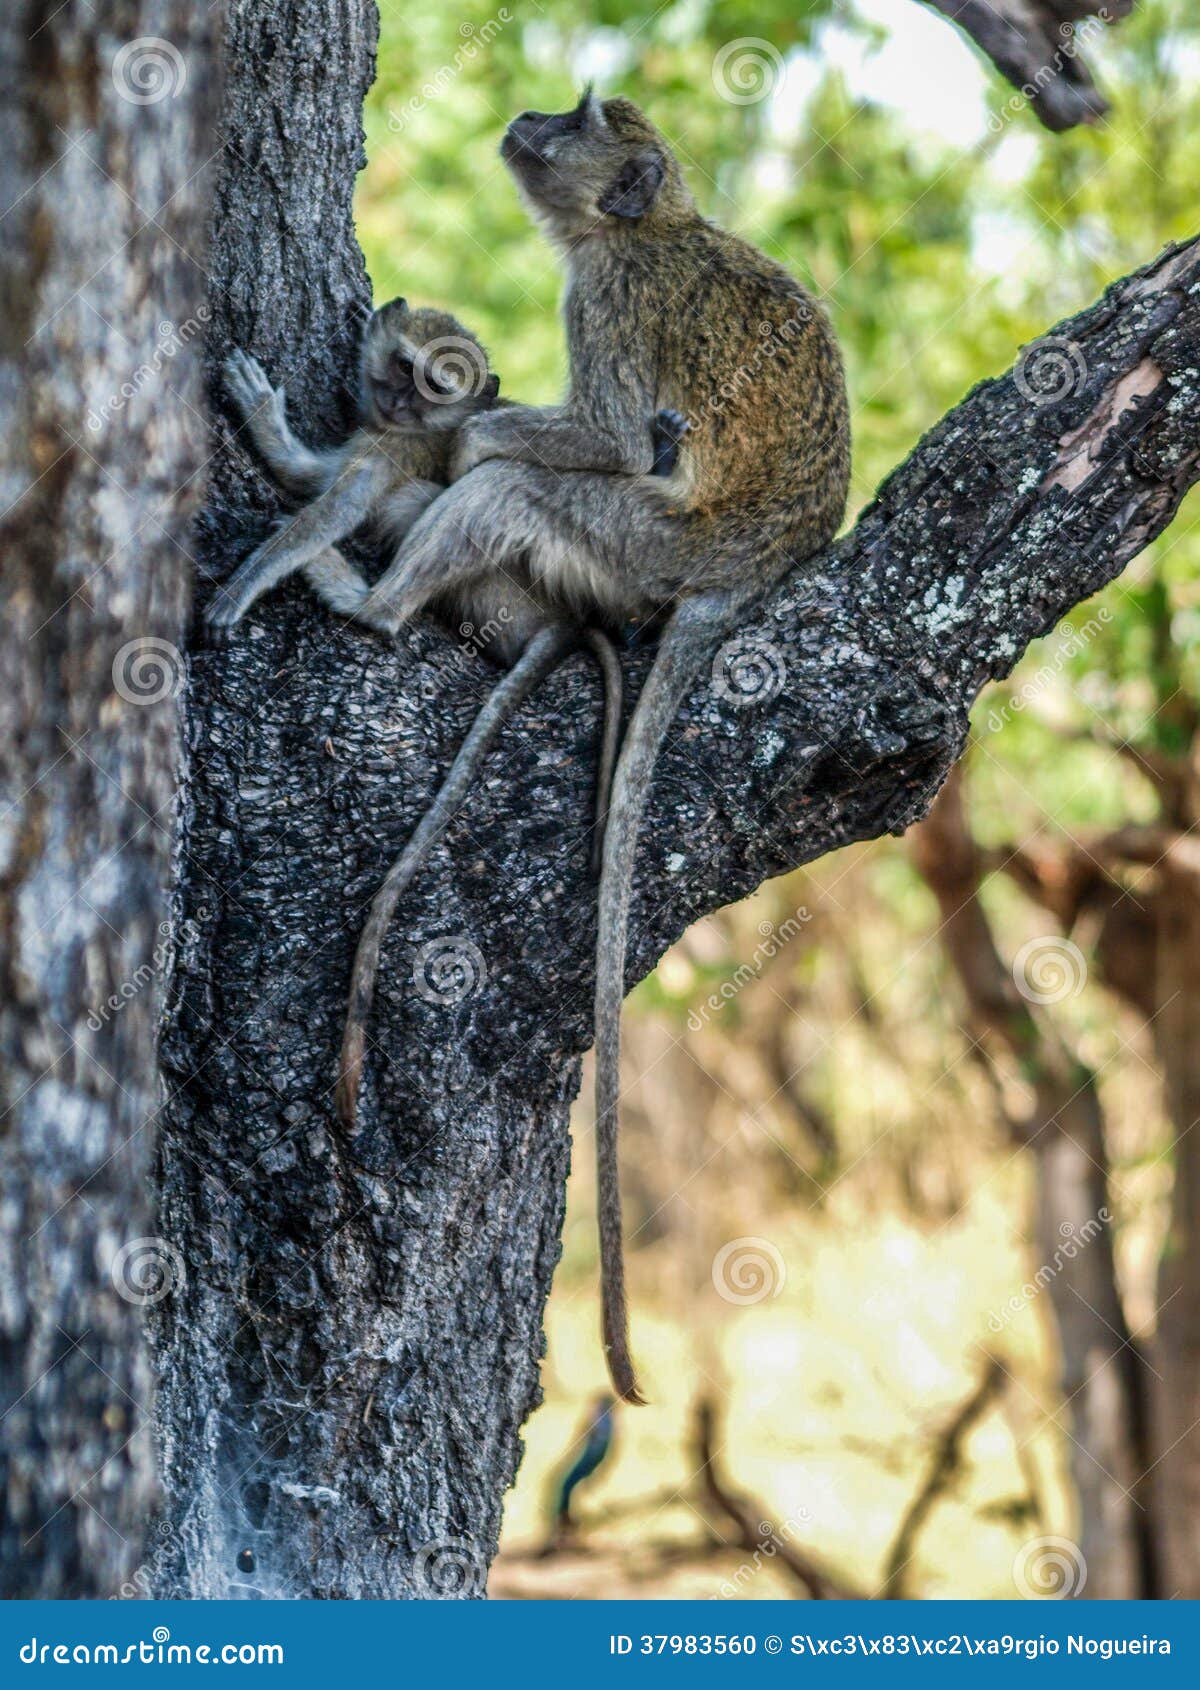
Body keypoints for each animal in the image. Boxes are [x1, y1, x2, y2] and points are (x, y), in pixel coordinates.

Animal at [324, 93, 850, 1404]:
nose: (530, 115)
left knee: (525, 490)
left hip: (635, 543)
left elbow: (600, 441)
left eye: (579, 120)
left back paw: (378, 597)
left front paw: (469, 435)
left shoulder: (604, 299)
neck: (654, 226)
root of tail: (745, 566)